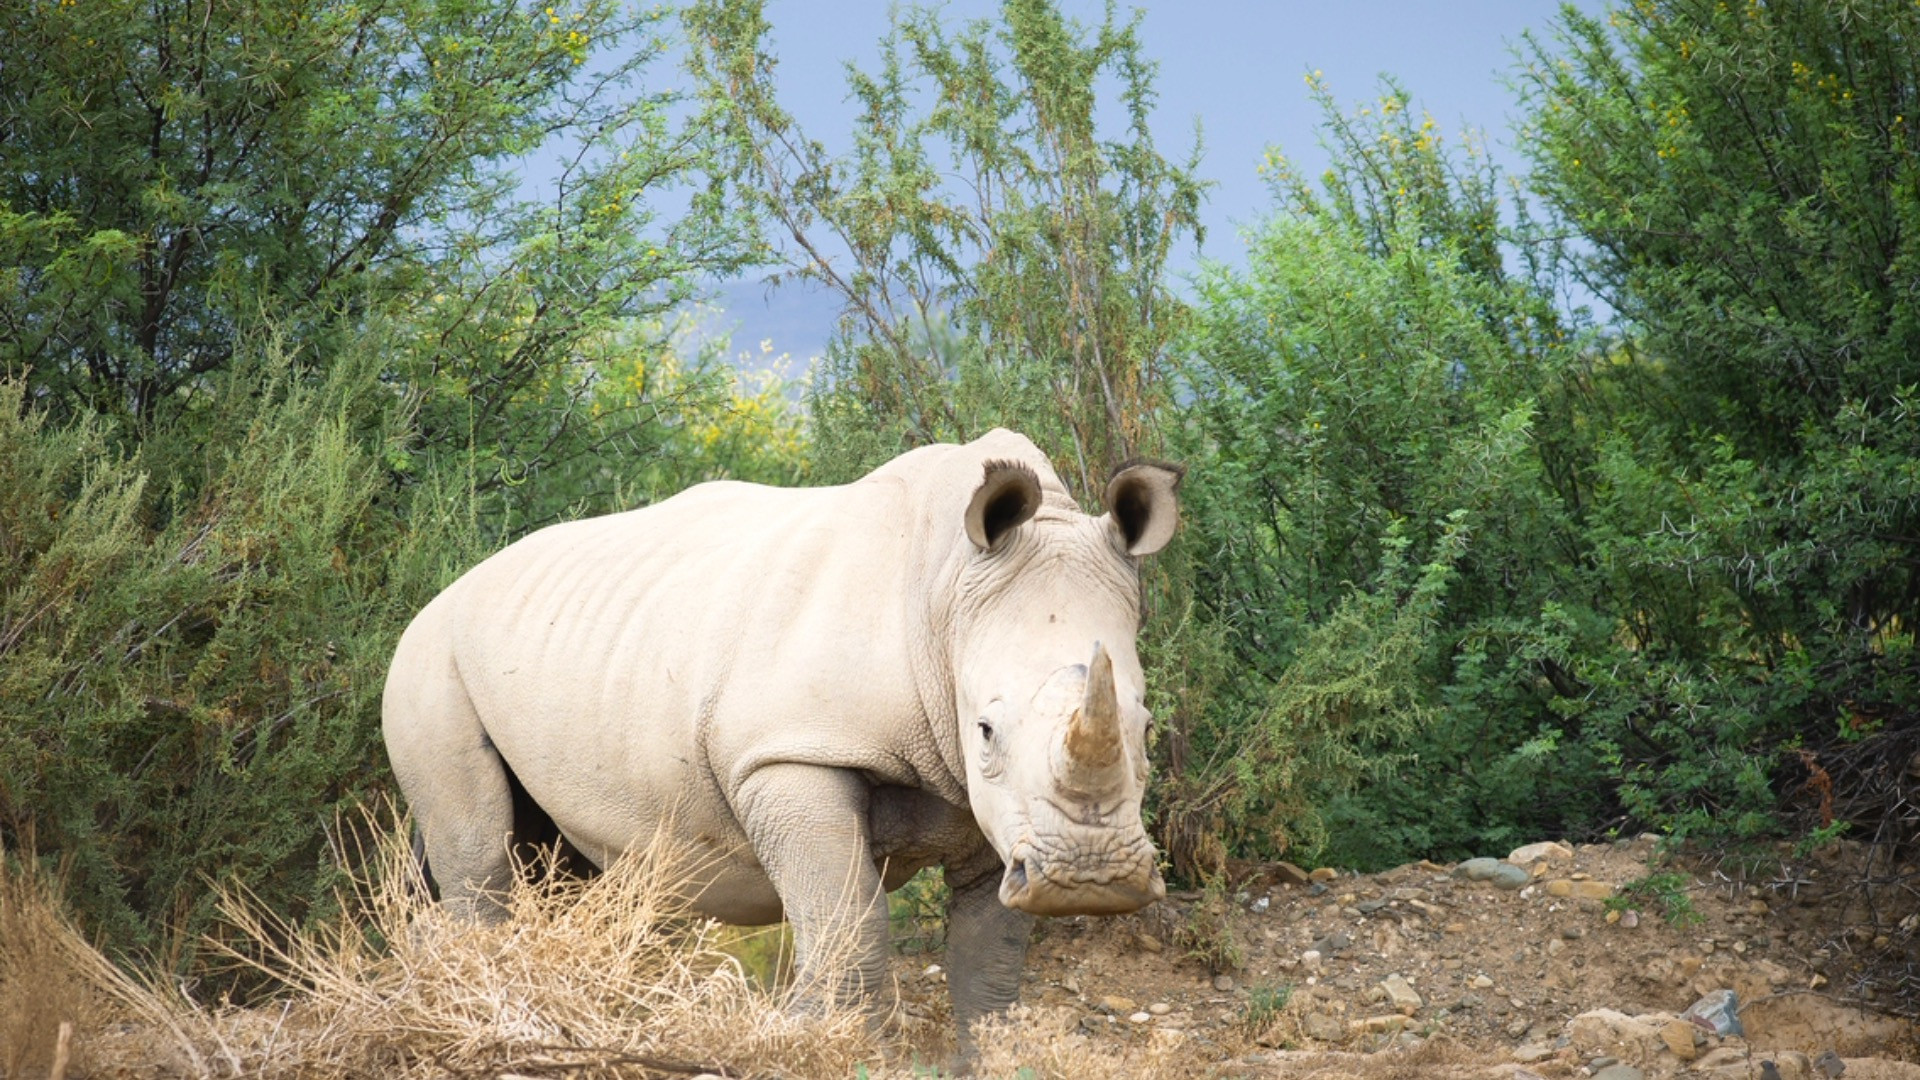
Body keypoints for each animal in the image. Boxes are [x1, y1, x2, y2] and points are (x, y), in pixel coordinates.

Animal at [382, 428, 1180, 1056]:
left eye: (1146, 728)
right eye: (985, 729)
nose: (1090, 878)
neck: (947, 597)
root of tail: (444, 589)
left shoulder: (999, 815)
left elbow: (989, 964)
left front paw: (988, 1052)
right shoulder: (790, 752)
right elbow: (847, 917)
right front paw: (815, 1037)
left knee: (553, 861)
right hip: (427, 660)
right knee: (480, 854)